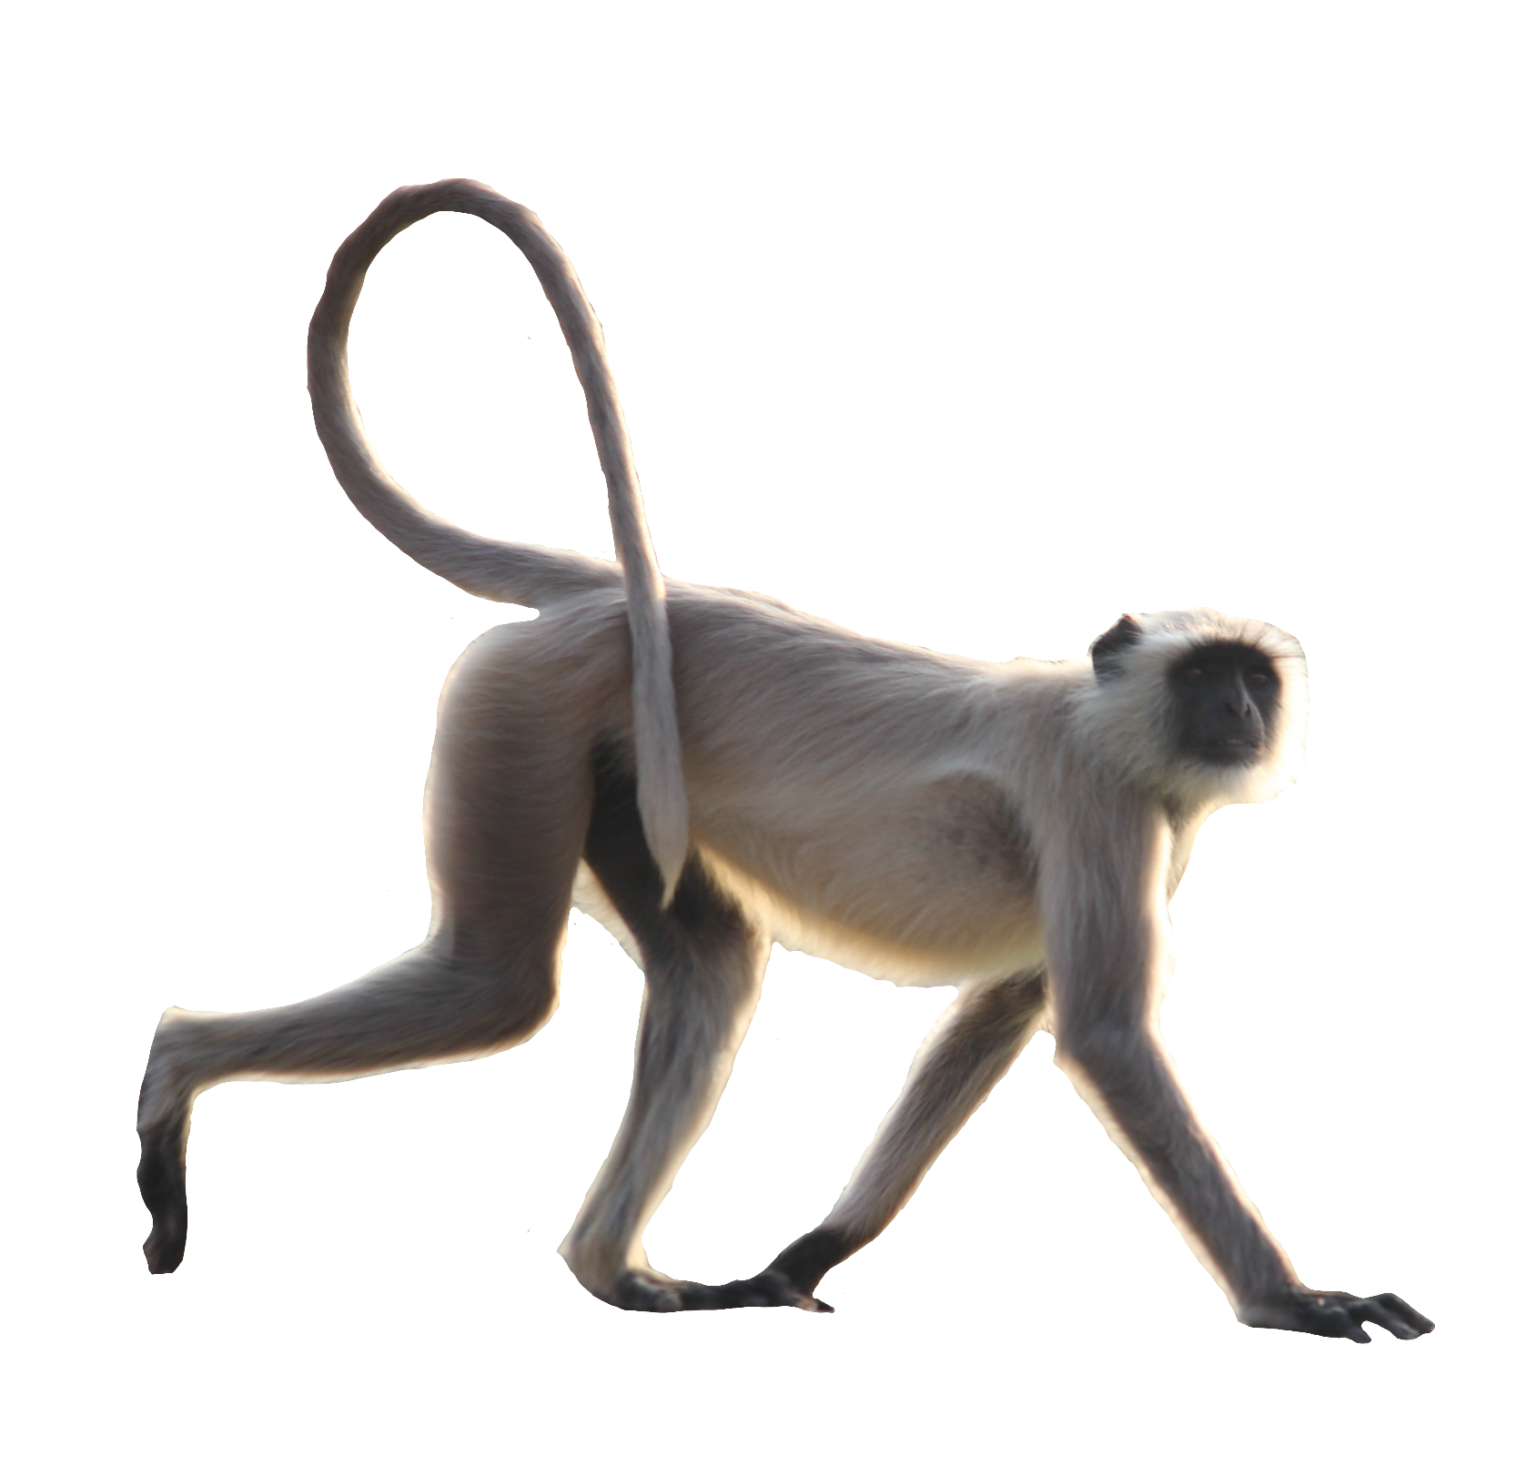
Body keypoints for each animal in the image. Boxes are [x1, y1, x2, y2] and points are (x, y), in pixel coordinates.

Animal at [136, 179, 1433, 1342]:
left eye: (1254, 679)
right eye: (1205, 677)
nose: (1242, 713)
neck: (1099, 709)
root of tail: (614, 596)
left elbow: (999, 1009)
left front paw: (808, 1253)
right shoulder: (1099, 799)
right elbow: (1106, 1031)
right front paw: (1296, 1301)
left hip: (607, 756)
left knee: (709, 962)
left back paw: (617, 1272)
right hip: (525, 708)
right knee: (498, 985)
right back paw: (174, 1064)